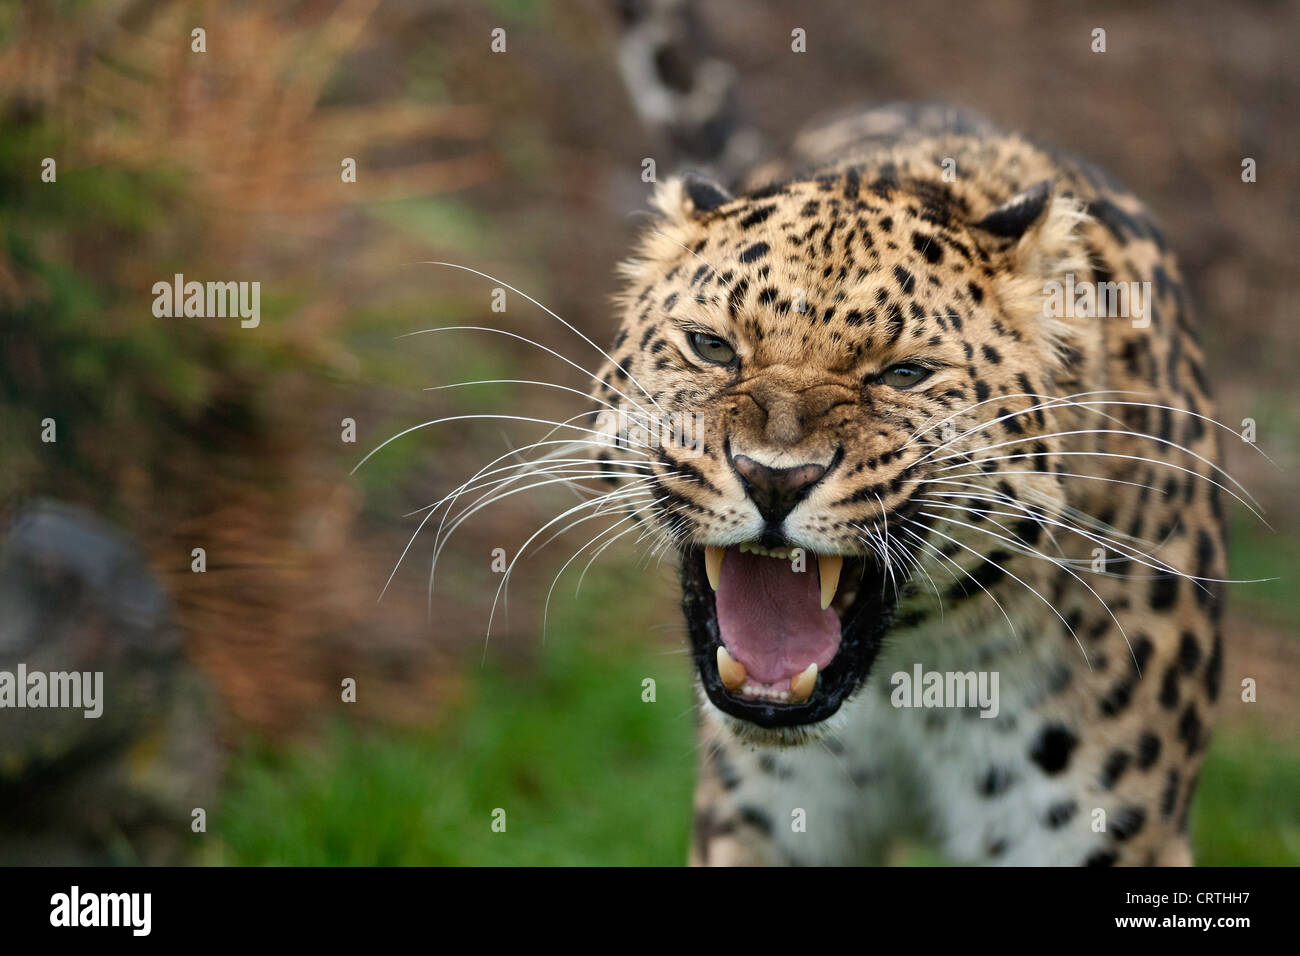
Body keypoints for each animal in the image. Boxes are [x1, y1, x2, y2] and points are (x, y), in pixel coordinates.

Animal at [573, 0, 1236, 866]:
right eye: (711, 347)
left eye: (905, 374)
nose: (773, 476)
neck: (917, 670)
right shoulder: (765, 819)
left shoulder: (1099, 835)